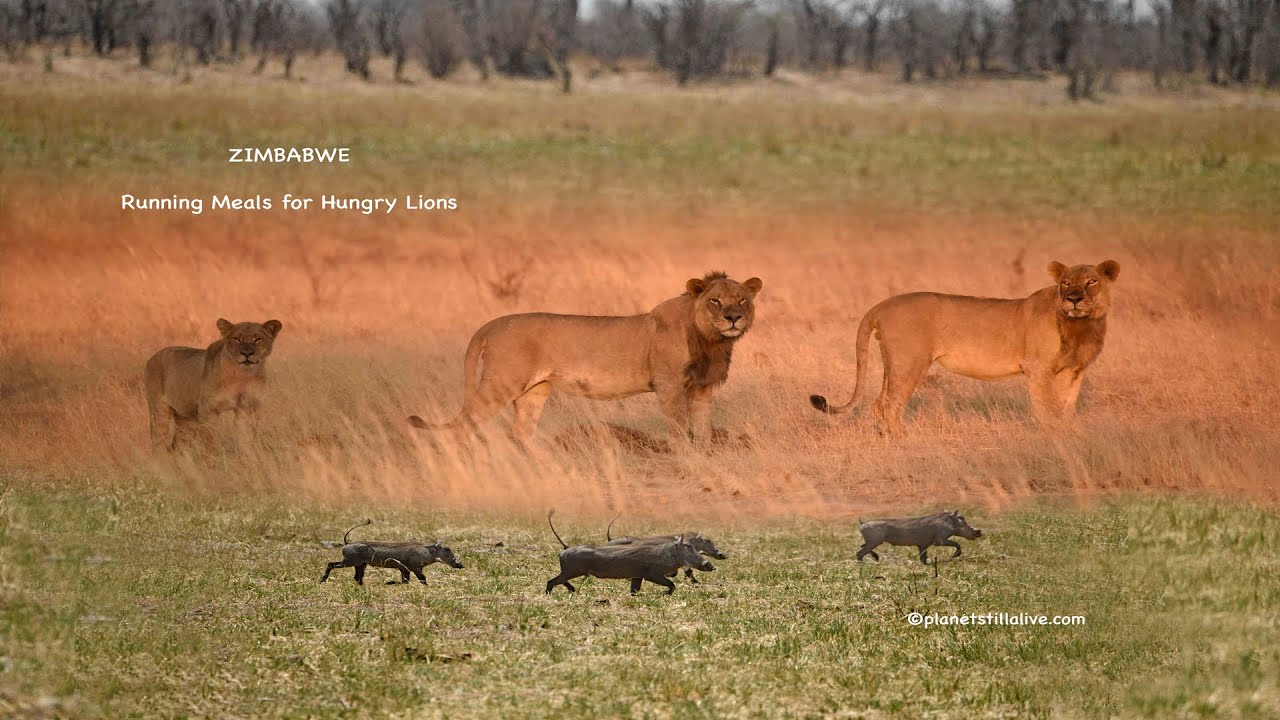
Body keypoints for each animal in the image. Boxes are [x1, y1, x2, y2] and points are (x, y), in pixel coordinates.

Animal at [144, 318, 283, 450]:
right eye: (237, 339)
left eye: (258, 339)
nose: (247, 353)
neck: (242, 375)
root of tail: (152, 357)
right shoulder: (209, 409)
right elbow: (209, 443)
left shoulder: (247, 408)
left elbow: (246, 440)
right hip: (160, 412)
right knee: (158, 444)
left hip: (187, 417)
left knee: (178, 447)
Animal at [409, 272, 763, 443]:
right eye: (715, 300)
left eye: (742, 300)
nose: (734, 318)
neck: (711, 341)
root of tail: (492, 324)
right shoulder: (669, 385)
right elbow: (678, 428)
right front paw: (684, 457)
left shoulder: (703, 388)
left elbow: (703, 430)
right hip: (501, 383)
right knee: (468, 423)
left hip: (534, 391)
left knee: (520, 431)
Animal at [810, 260, 1120, 434]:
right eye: (1065, 282)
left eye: (1092, 281)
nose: (1074, 299)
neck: (1082, 325)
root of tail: (881, 305)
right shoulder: (1038, 368)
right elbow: (1048, 408)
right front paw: (1052, 440)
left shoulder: (1074, 371)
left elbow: (1067, 407)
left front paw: (1068, 437)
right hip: (910, 361)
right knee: (890, 404)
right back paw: (901, 440)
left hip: (894, 362)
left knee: (879, 403)